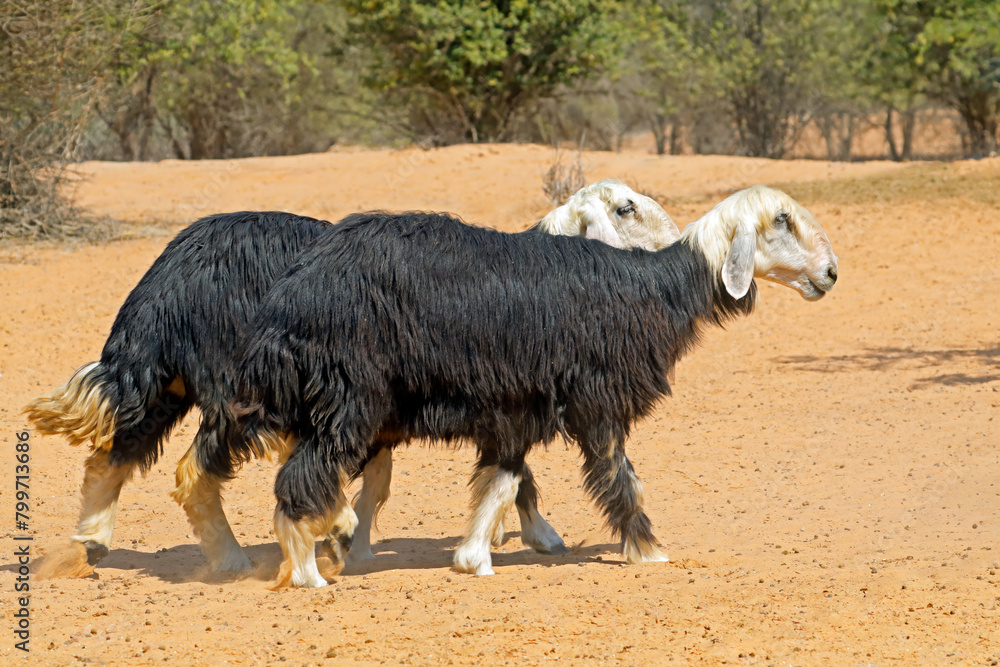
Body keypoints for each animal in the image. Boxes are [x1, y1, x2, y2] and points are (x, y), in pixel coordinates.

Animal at [24, 184, 678, 577]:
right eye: (625, 208)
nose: (677, 247)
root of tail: (171, 274)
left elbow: (430, 479)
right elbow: (512, 474)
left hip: (167, 380)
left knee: (116, 449)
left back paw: (92, 540)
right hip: (238, 391)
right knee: (191, 472)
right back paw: (244, 555)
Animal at [229, 184, 839, 588]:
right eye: (782, 218)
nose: (831, 273)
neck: (657, 288)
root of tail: (291, 297)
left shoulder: (515, 405)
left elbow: (505, 477)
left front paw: (475, 554)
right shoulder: (594, 400)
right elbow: (622, 480)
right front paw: (649, 551)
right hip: (351, 400)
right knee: (300, 479)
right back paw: (308, 570)